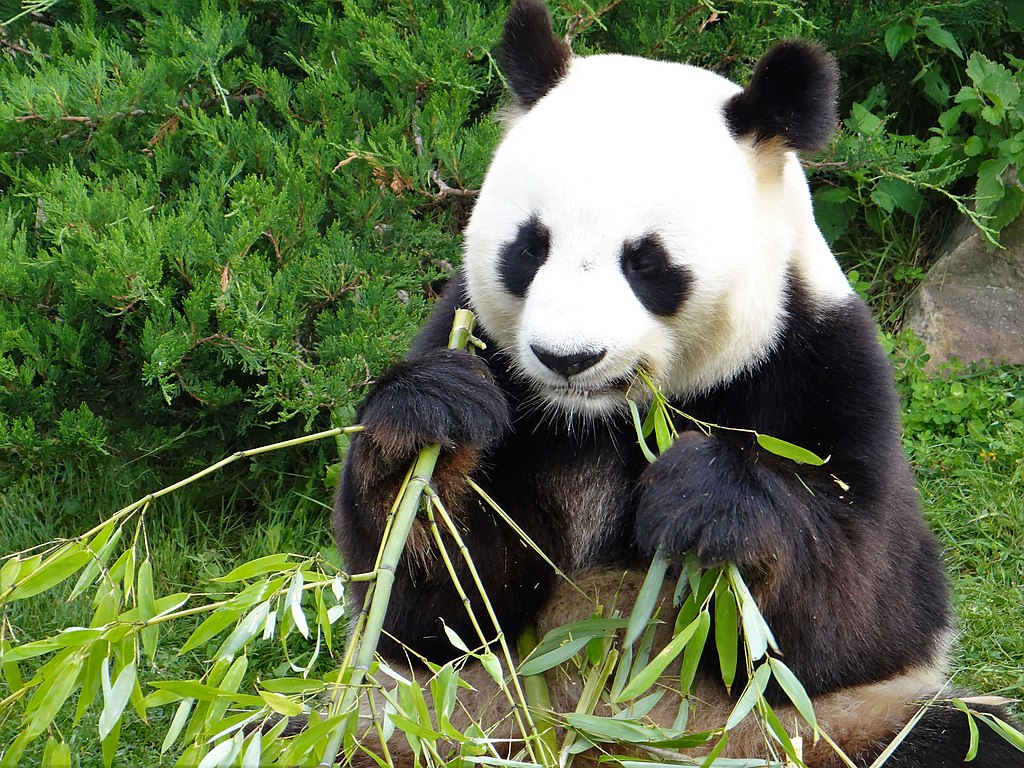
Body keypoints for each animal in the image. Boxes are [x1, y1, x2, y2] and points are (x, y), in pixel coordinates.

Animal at [333, 1, 1023, 766]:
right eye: (530, 247)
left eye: (647, 262)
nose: (566, 358)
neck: (603, 420)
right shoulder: (484, 348)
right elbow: (437, 614)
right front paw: (430, 422)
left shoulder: (820, 364)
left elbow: (872, 604)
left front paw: (705, 497)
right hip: (452, 722)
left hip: (823, 731)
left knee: (962, 735)